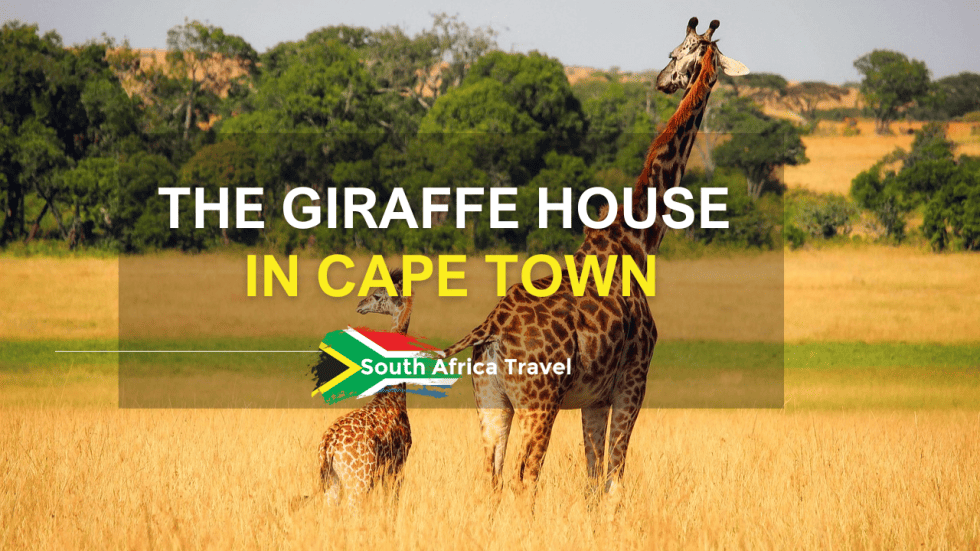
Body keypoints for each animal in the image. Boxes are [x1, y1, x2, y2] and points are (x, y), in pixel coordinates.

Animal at [317, 269, 413, 507]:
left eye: (378, 295)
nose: (360, 305)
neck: (393, 395)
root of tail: (328, 446)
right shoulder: (398, 464)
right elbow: (392, 505)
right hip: (358, 481)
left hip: (332, 483)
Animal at [440, 18, 748, 494]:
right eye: (675, 52)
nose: (663, 81)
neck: (638, 238)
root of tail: (489, 329)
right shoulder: (632, 382)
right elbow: (614, 480)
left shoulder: (594, 398)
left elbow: (592, 477)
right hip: (540, 400)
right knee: (525, 476)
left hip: (491, 400)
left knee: (492, 477)